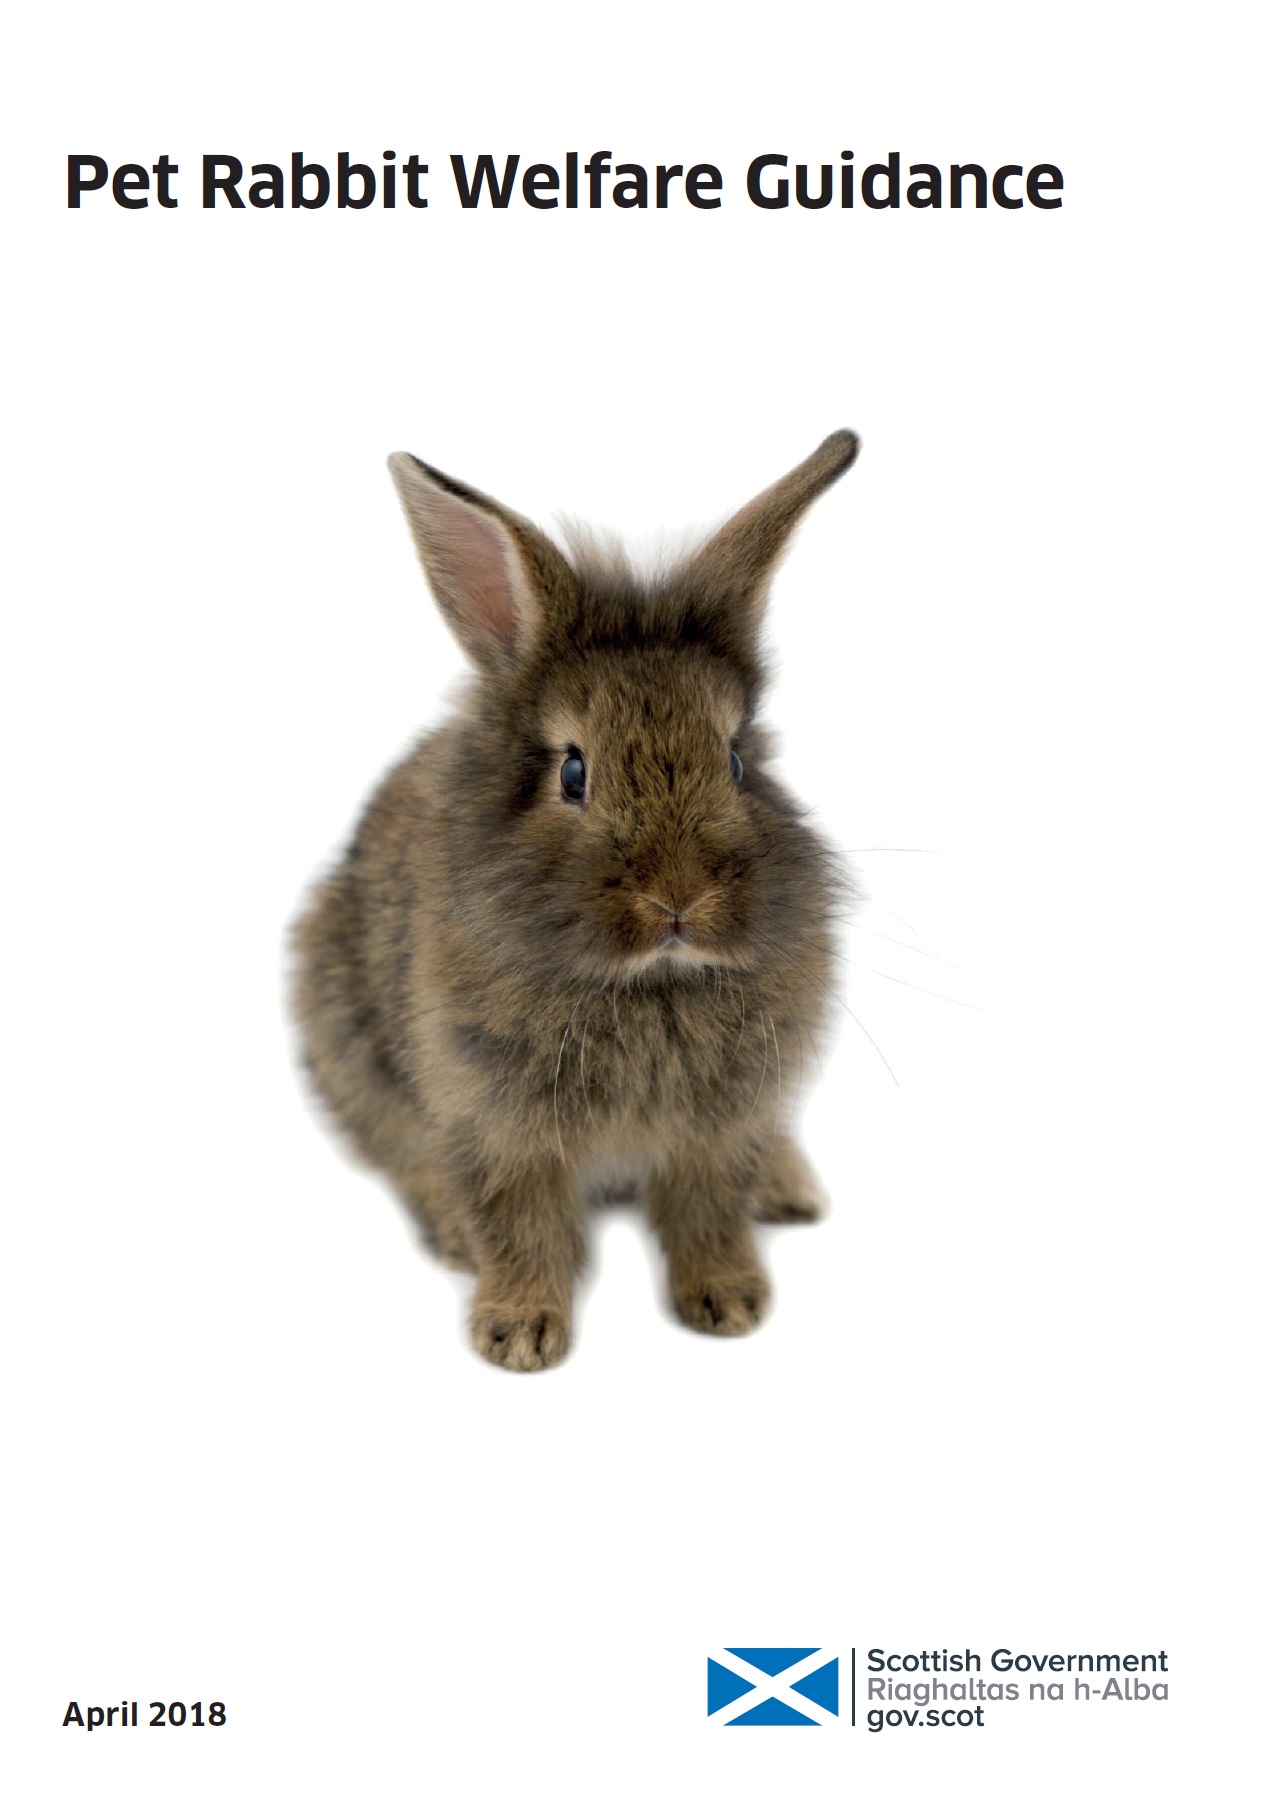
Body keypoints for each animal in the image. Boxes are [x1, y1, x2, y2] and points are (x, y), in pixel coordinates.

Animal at [292, 430, 860, 1370]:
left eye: (736, 760)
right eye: (572, 773)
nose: (678, 899)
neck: (647, 984)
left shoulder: (721, 1126)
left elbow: (708, 1210)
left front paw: (729, 1301)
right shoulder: (496, 1121)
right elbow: (517, 1223)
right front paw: (518, 1334)